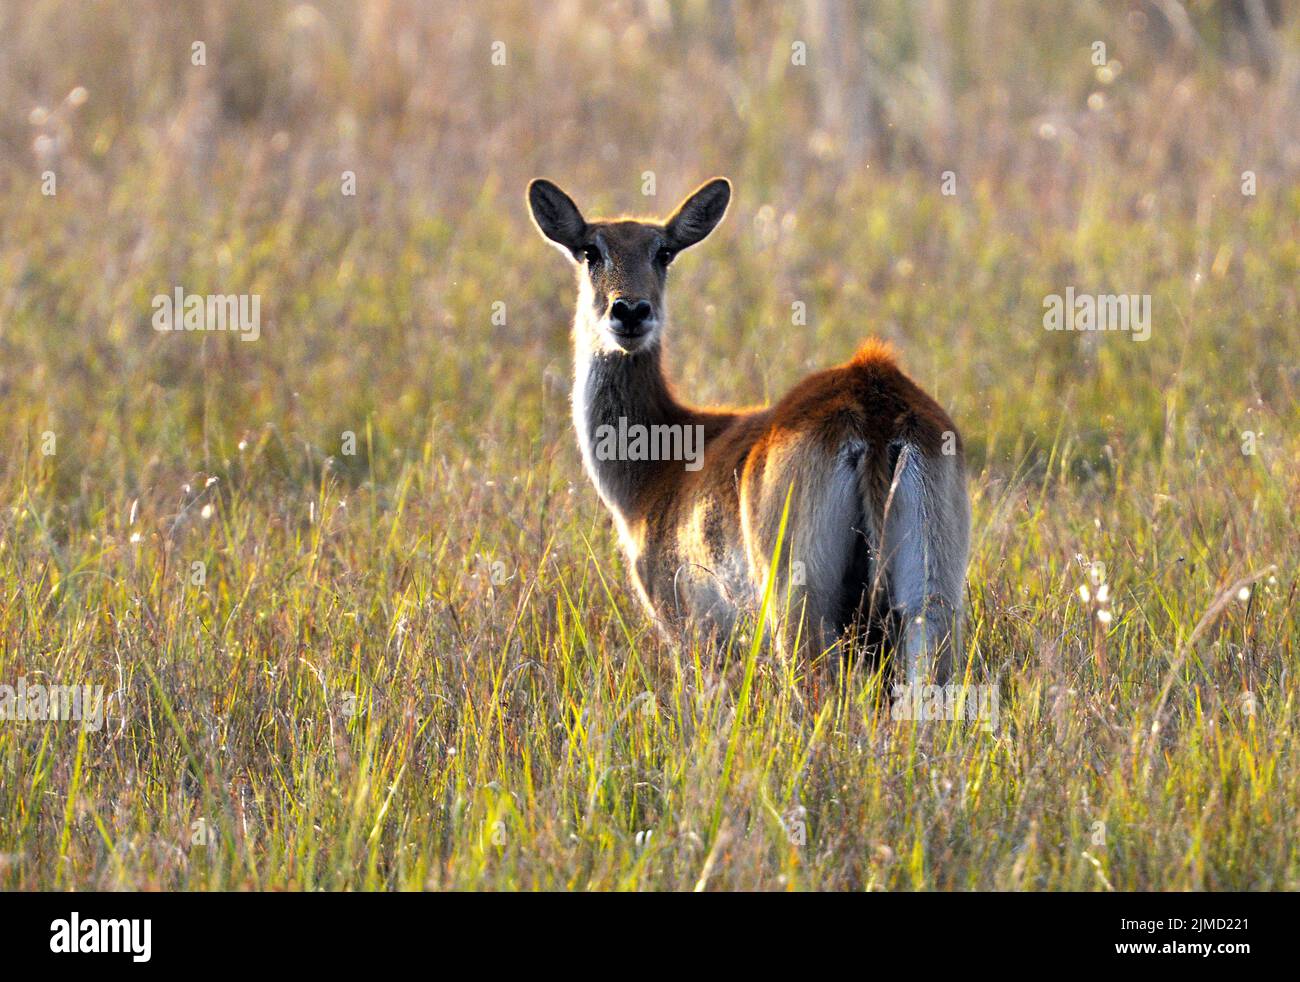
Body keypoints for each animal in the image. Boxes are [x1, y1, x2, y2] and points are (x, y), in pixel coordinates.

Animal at [528, 177, 970, 683]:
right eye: (590, 250)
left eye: (663, 252)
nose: (631, 311)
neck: (653, 471)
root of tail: (874, 400)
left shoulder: (688, 626)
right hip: (931, 598)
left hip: (799, 601)